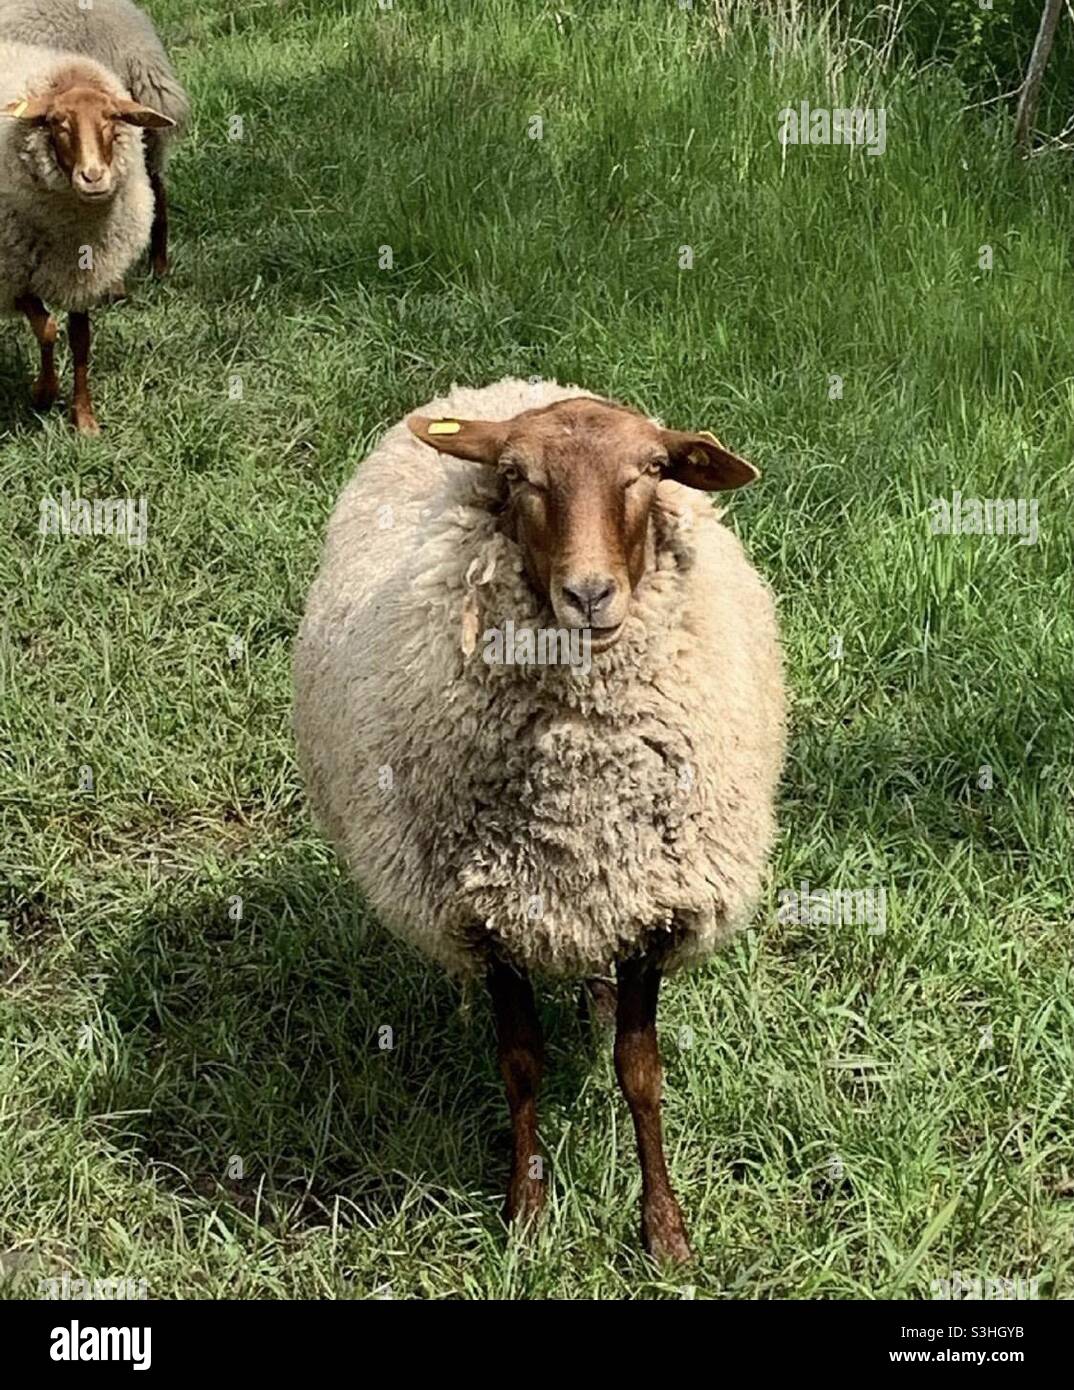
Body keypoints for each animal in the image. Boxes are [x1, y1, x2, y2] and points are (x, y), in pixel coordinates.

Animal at [0, 39, 173, 432]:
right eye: (56, 123)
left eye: (111, 119)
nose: (93, 177)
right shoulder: (12, 274)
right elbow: (48, 328)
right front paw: (43, 393)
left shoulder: (84, 274)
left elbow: (81, 342)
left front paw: (84, 419)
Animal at [293, 377, 786, 1263]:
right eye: (518, 476)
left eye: (652, 469)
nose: (588, 594)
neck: (579, 782)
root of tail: (509, 388)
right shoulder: (482, 911)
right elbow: (520, 1064)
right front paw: (526, 1214)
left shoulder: (653, 905)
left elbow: (639, 1071)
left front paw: (664, 1231)